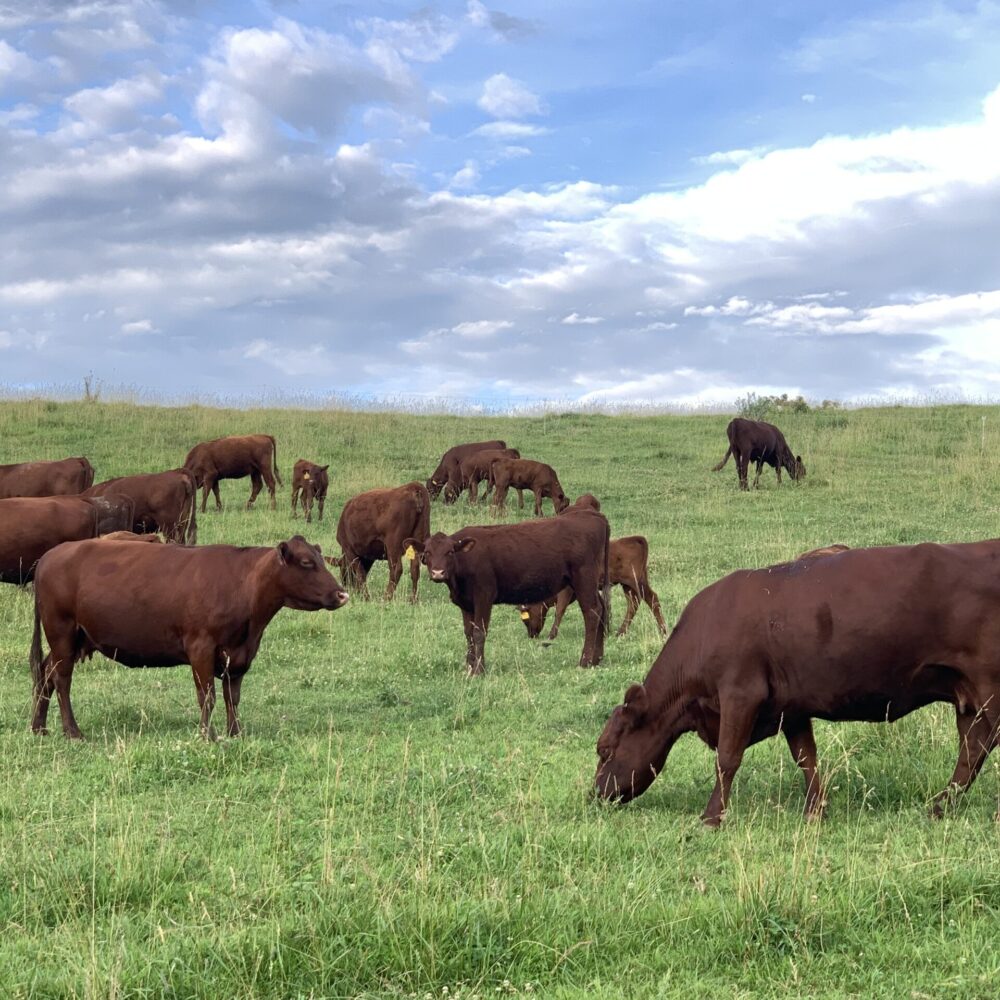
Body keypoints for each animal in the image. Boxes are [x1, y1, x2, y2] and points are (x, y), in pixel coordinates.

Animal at [29, 535, 349, 740]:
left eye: (321, 560)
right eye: (306, 562)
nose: (342, 593)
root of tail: (50, 555)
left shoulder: (239, 654)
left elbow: (232, 696)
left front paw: (235, 733)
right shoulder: (201, 647)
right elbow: (207, 696)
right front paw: (208, 734)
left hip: (74, 638)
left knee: (45, 673)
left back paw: (39, 727)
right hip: (61, 632)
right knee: (61, 679)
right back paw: (73, 731)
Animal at [406, 511, 611, 674]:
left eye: (449, 552)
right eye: (428, 552)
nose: (437, 573)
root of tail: (592, 515)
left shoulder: (483, 597)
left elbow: (479, 632)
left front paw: (479, 670)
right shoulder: (465, 602)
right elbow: (468, 633)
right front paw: (470, 666)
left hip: (584, 578)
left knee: (592, 613)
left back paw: (584, 661)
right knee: (601, 609)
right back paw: (596, 659)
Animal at [520, 535, 668, 640]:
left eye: (526, 616)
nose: (531, 635)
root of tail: (634, 539)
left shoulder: (567, 590)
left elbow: (560, 610)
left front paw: (552, 635)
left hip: (635, 582)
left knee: (645, 600)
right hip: (630, 585)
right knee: (640, 602)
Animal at [595, 540, 1000, 826]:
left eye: (605, 749)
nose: (594, 794)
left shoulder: (741, 693)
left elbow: (726, 759)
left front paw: (711, 817)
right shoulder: (790, 707)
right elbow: (806, 757)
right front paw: (815, 810)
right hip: (970, 699)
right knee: (973, 750)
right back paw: (939, 806)